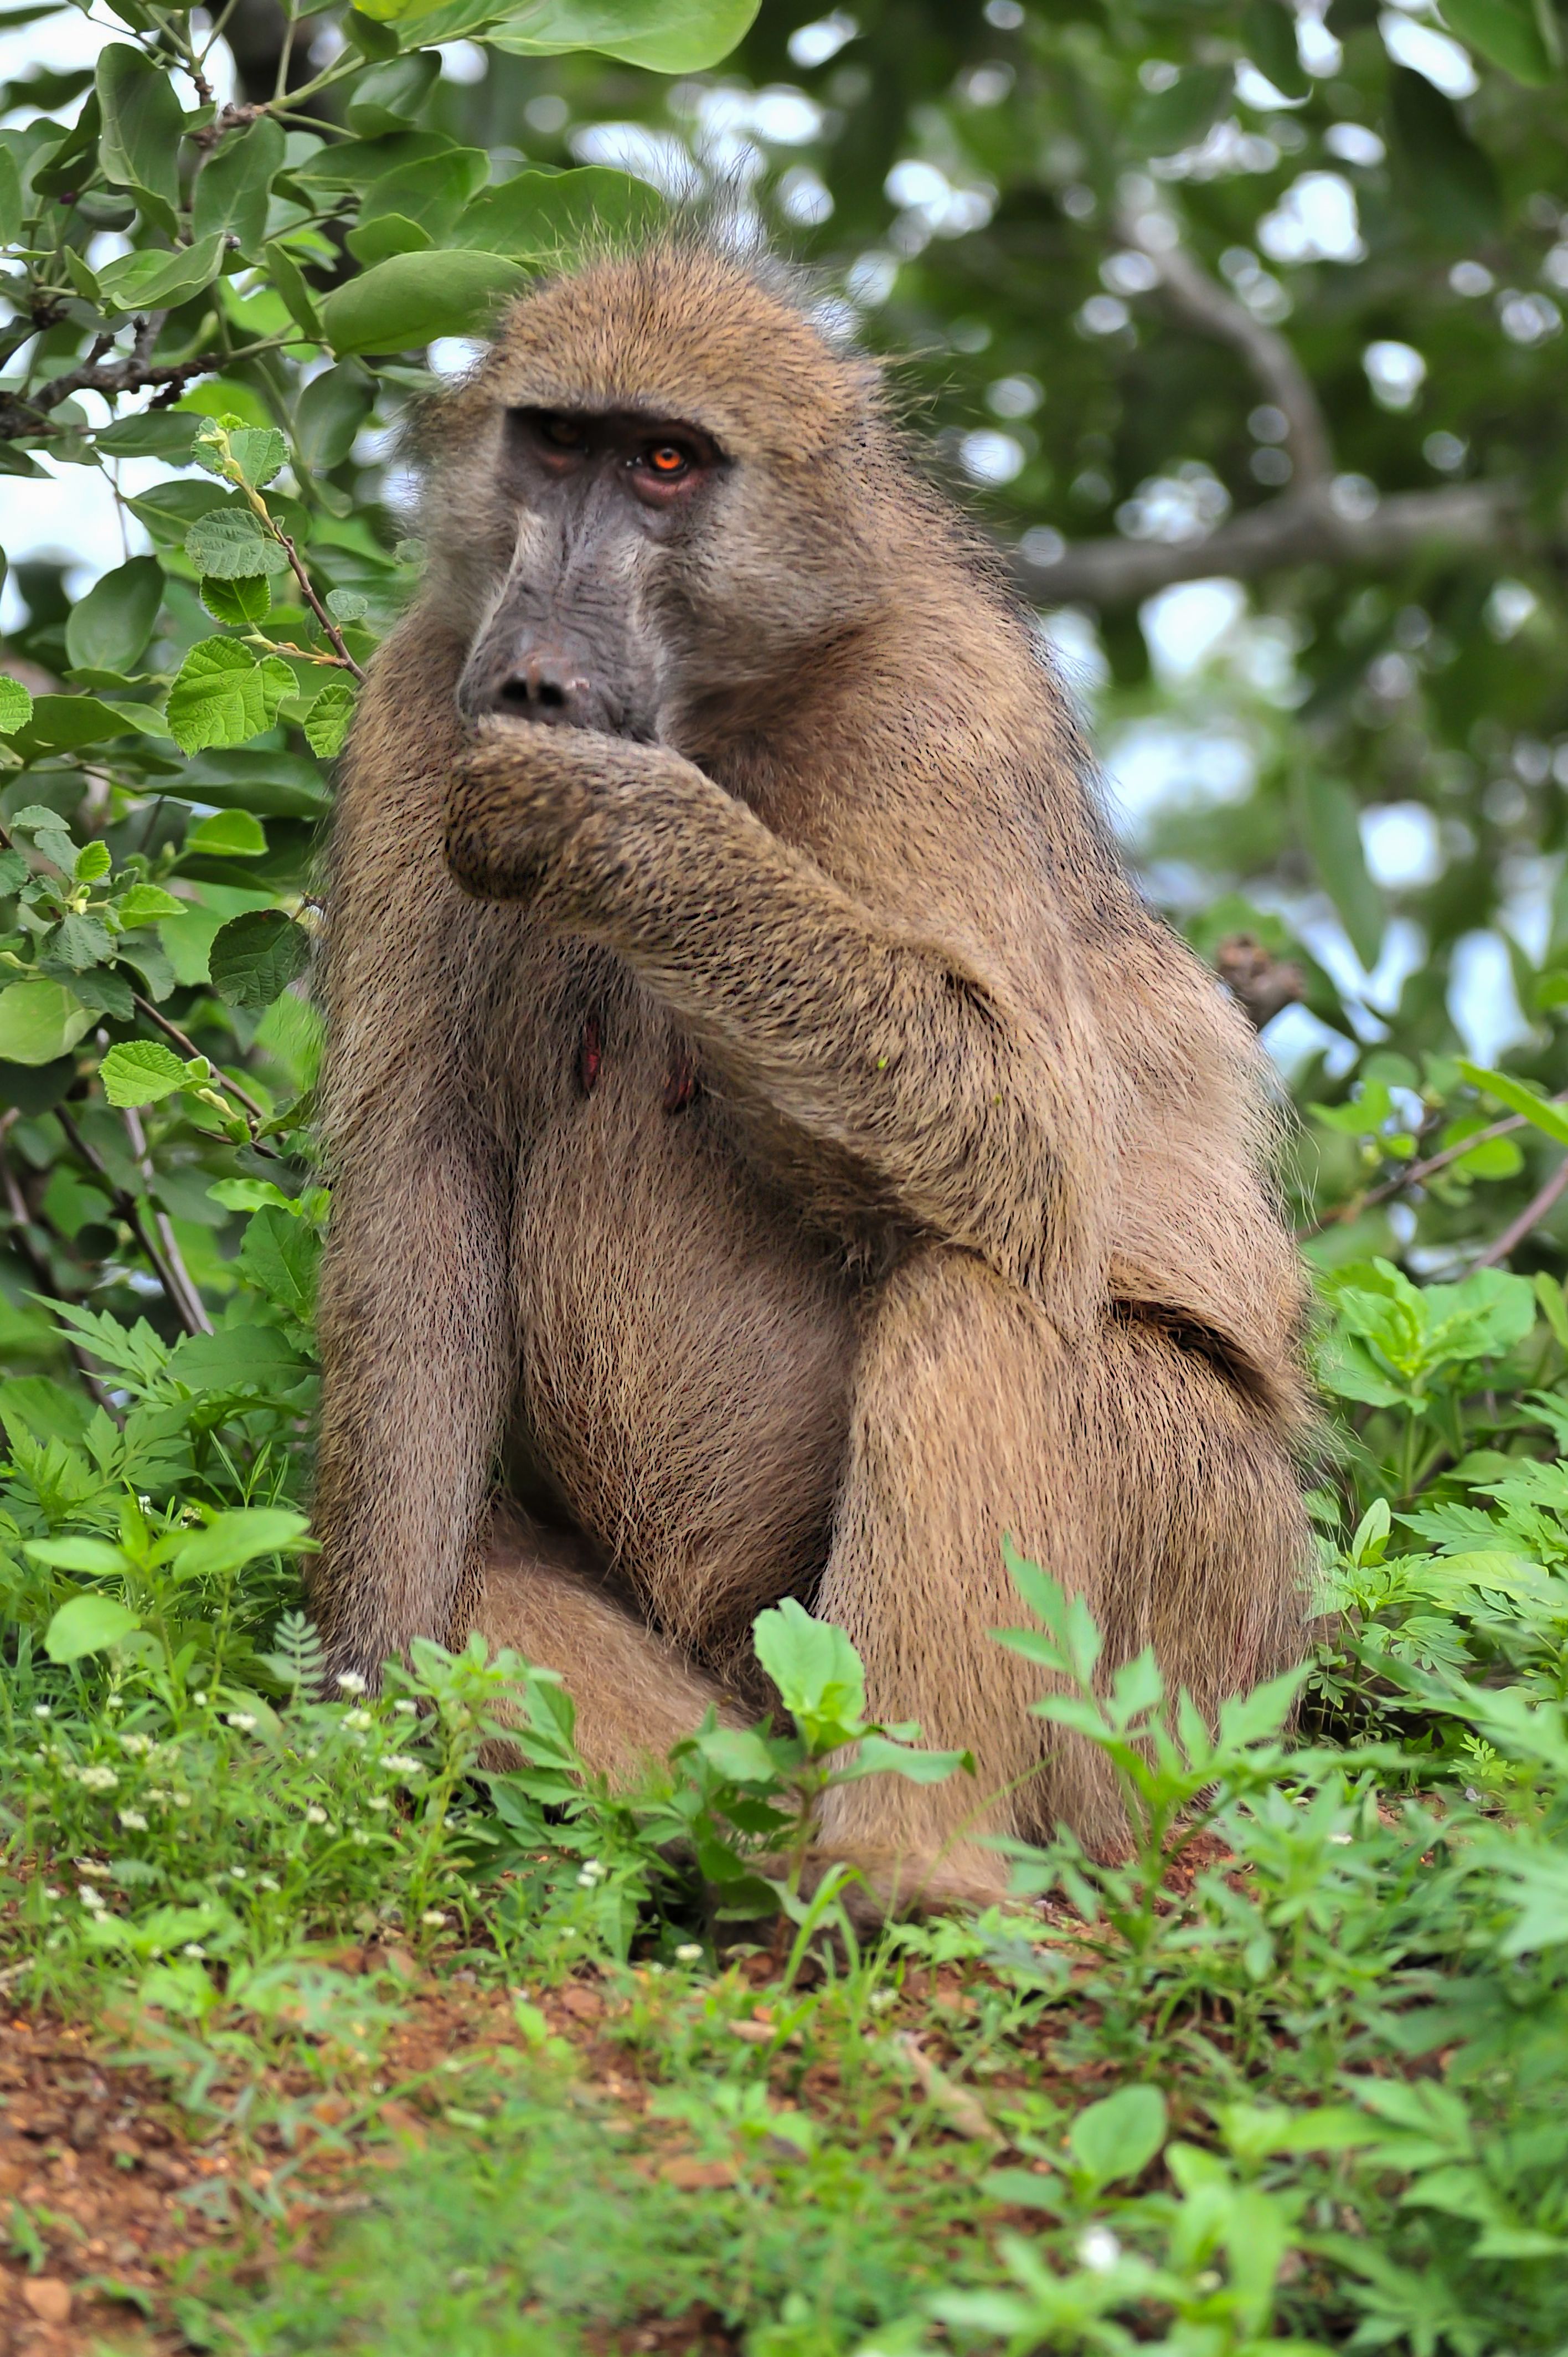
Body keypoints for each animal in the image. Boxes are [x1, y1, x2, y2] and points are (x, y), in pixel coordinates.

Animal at [310, 238, 1311, 1910]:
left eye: (666, 465)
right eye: (557, 445)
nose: (541, 666)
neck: (722, 709)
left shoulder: (938, 706)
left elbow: (1026, 1143)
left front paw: (613, 827)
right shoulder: (412, 709)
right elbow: (415, 1182)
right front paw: (351, 1735)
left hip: (1181, 1690)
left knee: (990, 1288)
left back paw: (908, 1869)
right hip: (741, 1705)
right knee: (508, 1605)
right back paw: (716, 1857)